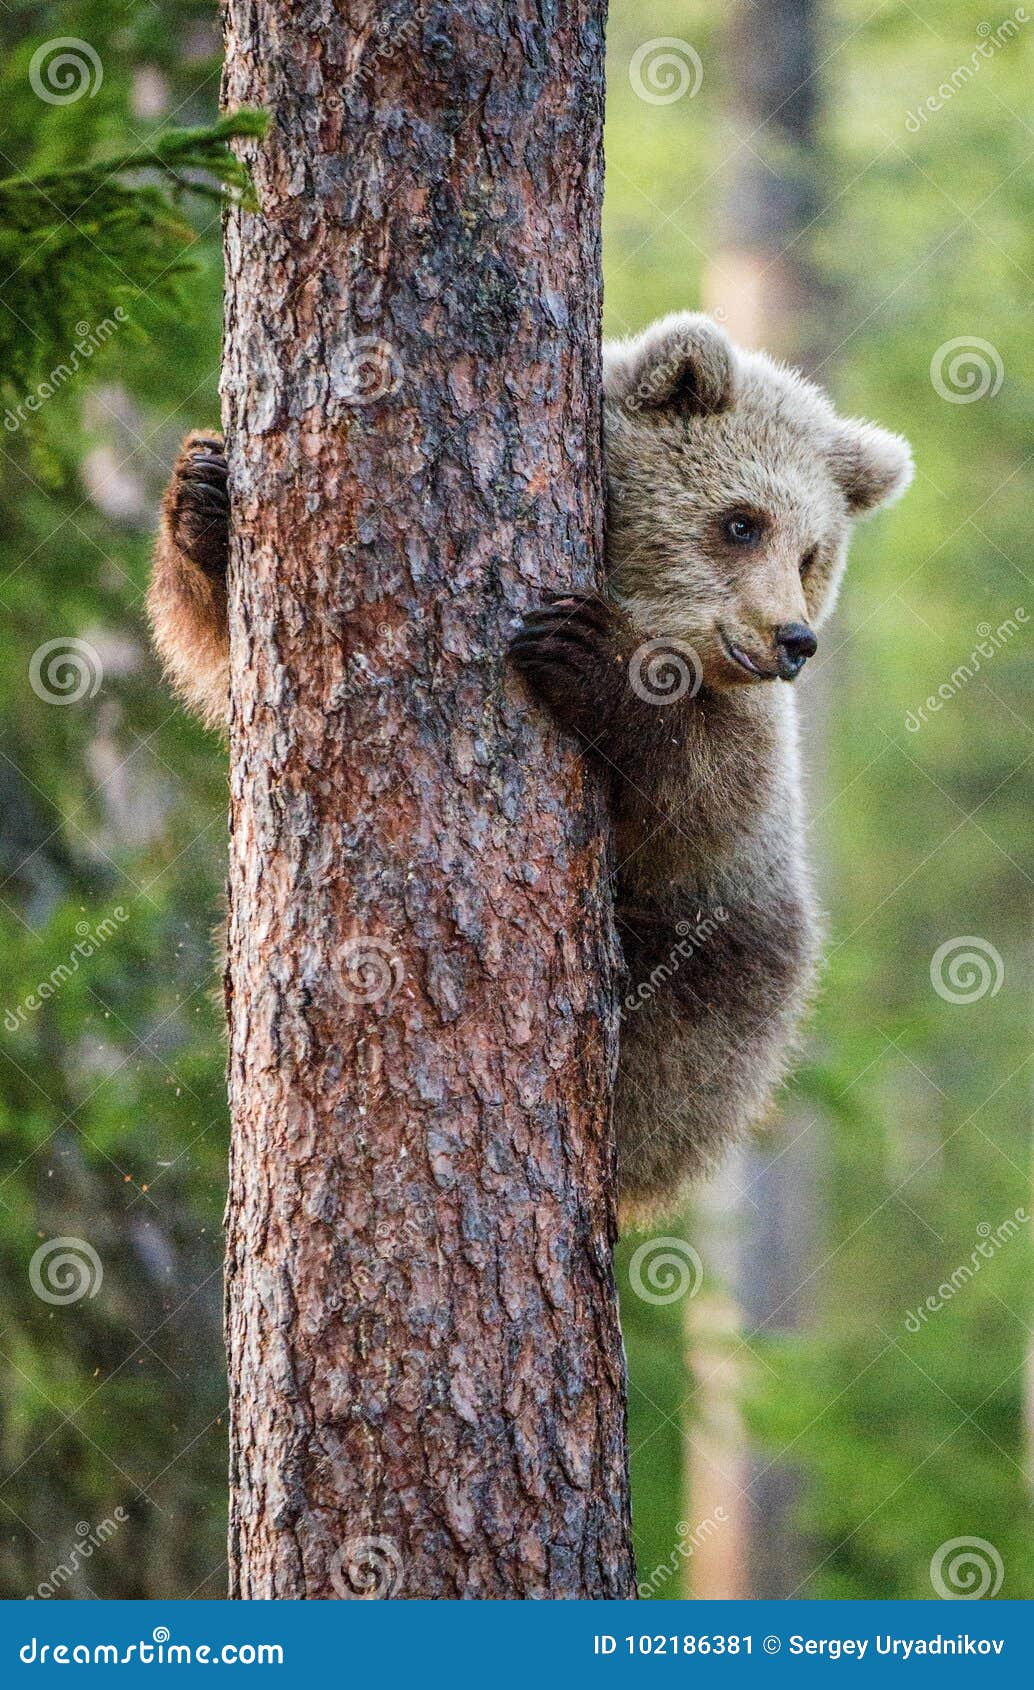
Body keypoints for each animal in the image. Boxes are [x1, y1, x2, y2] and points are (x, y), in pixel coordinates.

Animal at [147, 312, 912, 1222]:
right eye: (742, 522)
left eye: (813, 553)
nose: (792, 640)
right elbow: (223, 653)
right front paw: (203, 494)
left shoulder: (744, 769)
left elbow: (703, 795)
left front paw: (585, 654)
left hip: (728, 946)